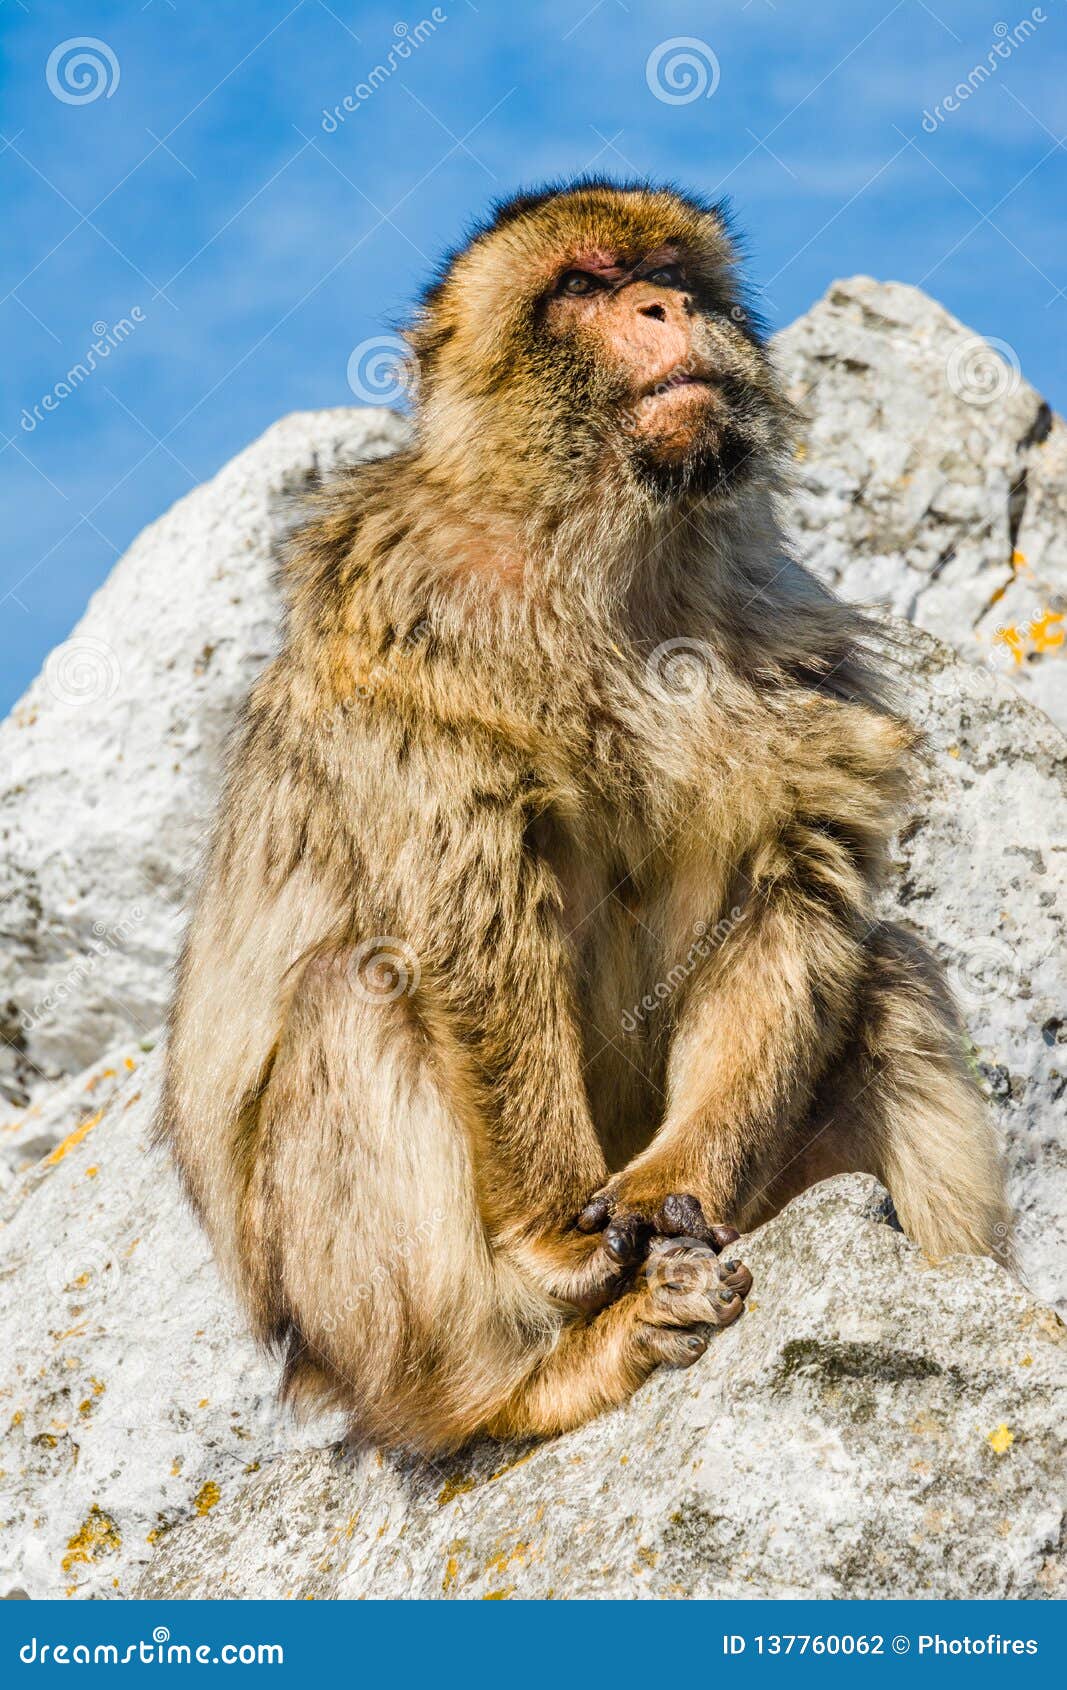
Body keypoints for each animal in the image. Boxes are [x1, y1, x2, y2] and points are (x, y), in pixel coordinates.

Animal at [158, 179, 1012, 1456]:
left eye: (668, 273)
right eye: (583, 286)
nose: (663, 308)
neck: (609, 551)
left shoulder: (793, 641)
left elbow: (792, 894)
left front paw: (666, 1186)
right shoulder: (408, 632)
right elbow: (473, 932)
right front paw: (563, 1232)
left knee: (888, 965)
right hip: (342, 1330)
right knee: (356, 992)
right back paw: (525, 1382)